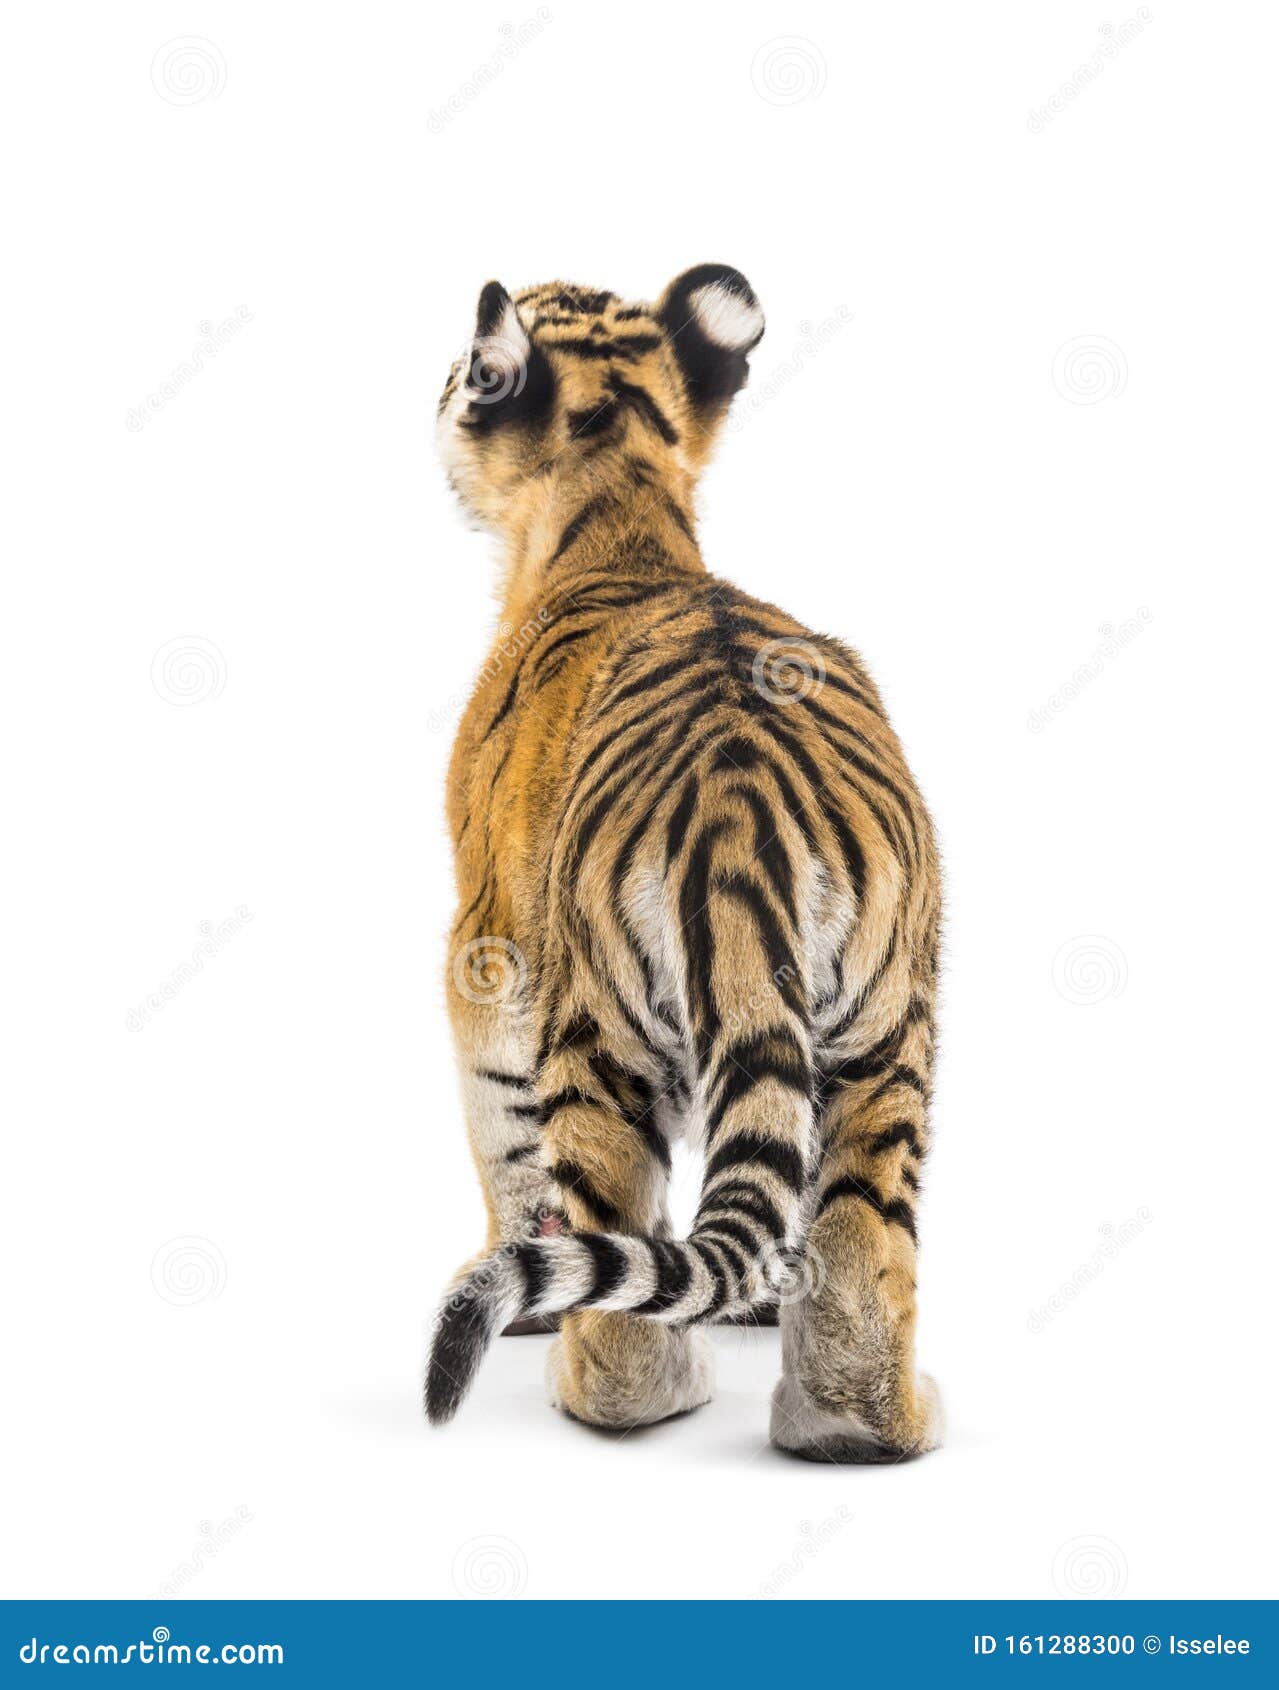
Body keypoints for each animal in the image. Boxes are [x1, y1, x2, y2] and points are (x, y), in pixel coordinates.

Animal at [424, 264, 943, 1462]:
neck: (620, 510)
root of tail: (741, 822)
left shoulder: (484, 945)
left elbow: (502, 1136)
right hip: (883, 1034)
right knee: (858, 1250)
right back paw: (860, 1424)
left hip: (595, 1032)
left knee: (614, 1292)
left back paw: (605, 1373)